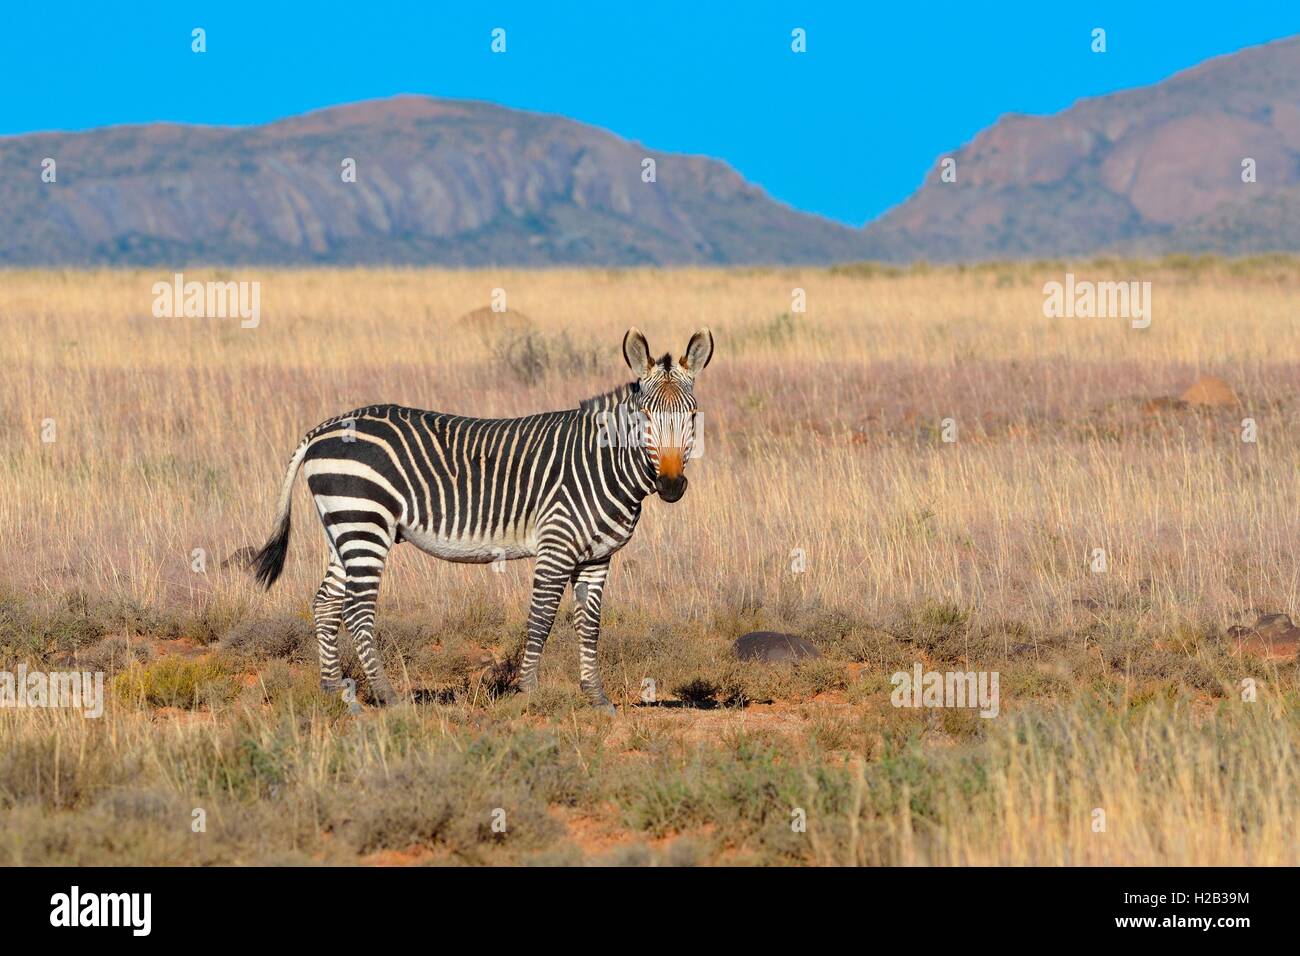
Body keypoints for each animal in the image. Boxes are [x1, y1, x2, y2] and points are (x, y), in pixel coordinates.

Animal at [249, 327, 713, 712]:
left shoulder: (597, 557)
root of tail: (322, 428)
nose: (671, 485)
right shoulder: (556, 545)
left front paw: (596, 697)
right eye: (645, 417)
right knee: (357, 609)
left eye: (692, 417)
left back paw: (334, 691)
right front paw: (529, 691)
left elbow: (590, 625)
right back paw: (388, 696)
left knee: (326, 603)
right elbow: (542, 618)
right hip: (364, 524)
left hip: (343, 527)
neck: (602, 463)